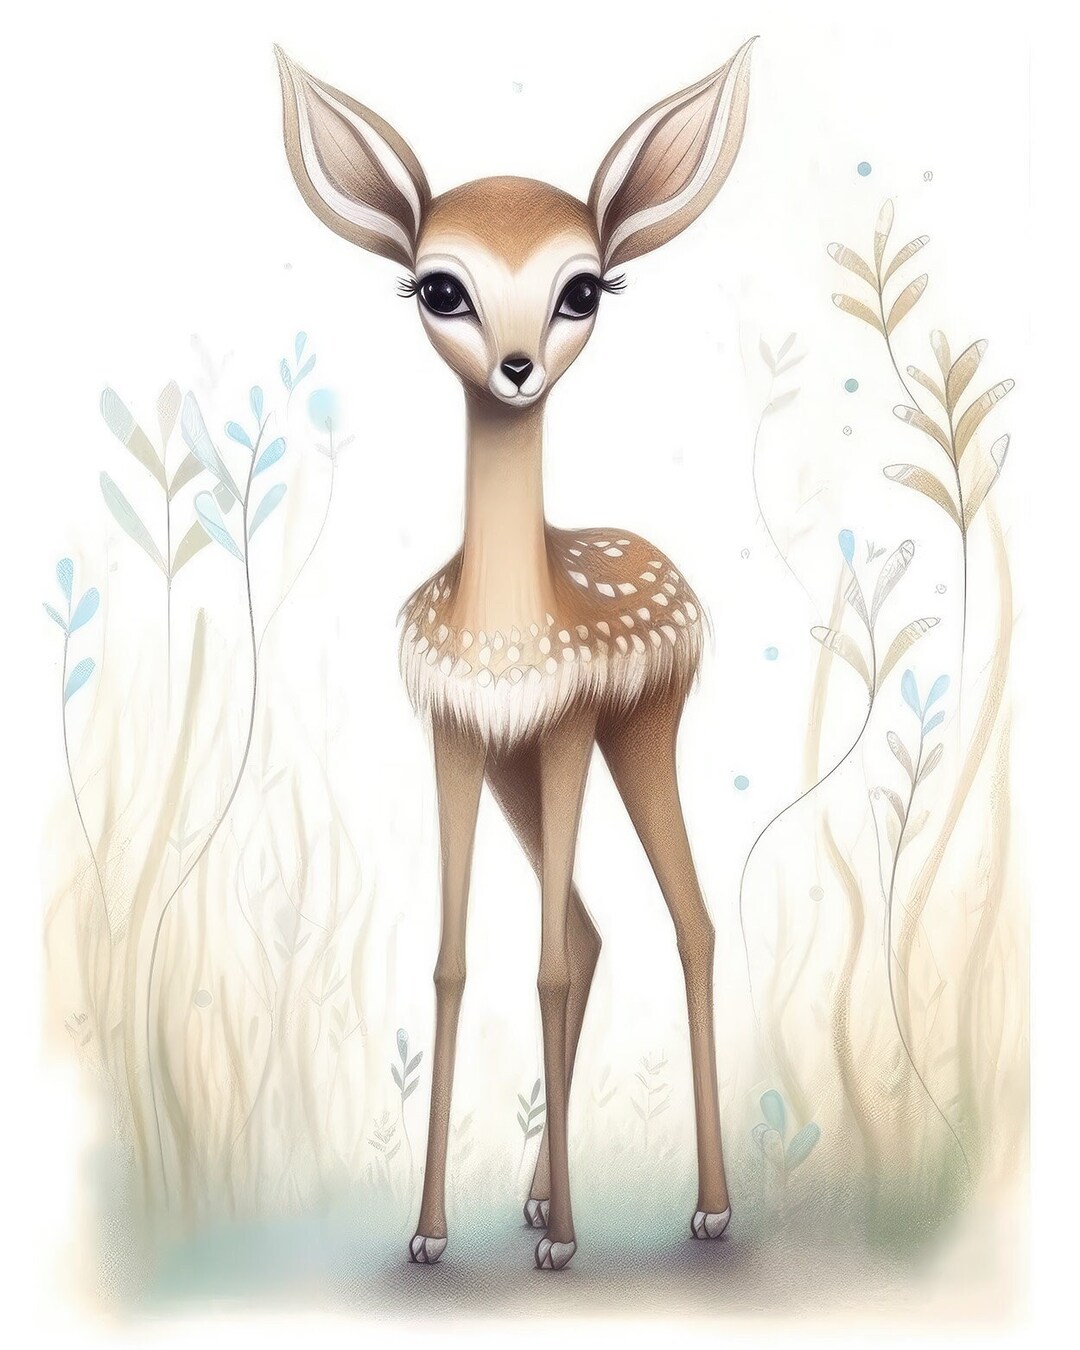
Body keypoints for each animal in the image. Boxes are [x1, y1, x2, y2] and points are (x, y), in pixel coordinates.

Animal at [275, 37, 755, 1271]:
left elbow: (539, 965)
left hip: (636, 731)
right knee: (587, 925)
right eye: (439, 285)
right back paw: (541, 1196)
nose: (518, 366)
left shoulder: (569, 726)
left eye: (583, 286)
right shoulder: (452, 736)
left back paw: (708, 1209)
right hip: (513, 775)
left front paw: (565, 1243)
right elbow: (454, 964)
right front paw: (431, 1229)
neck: (504, 624)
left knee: (685, 922)